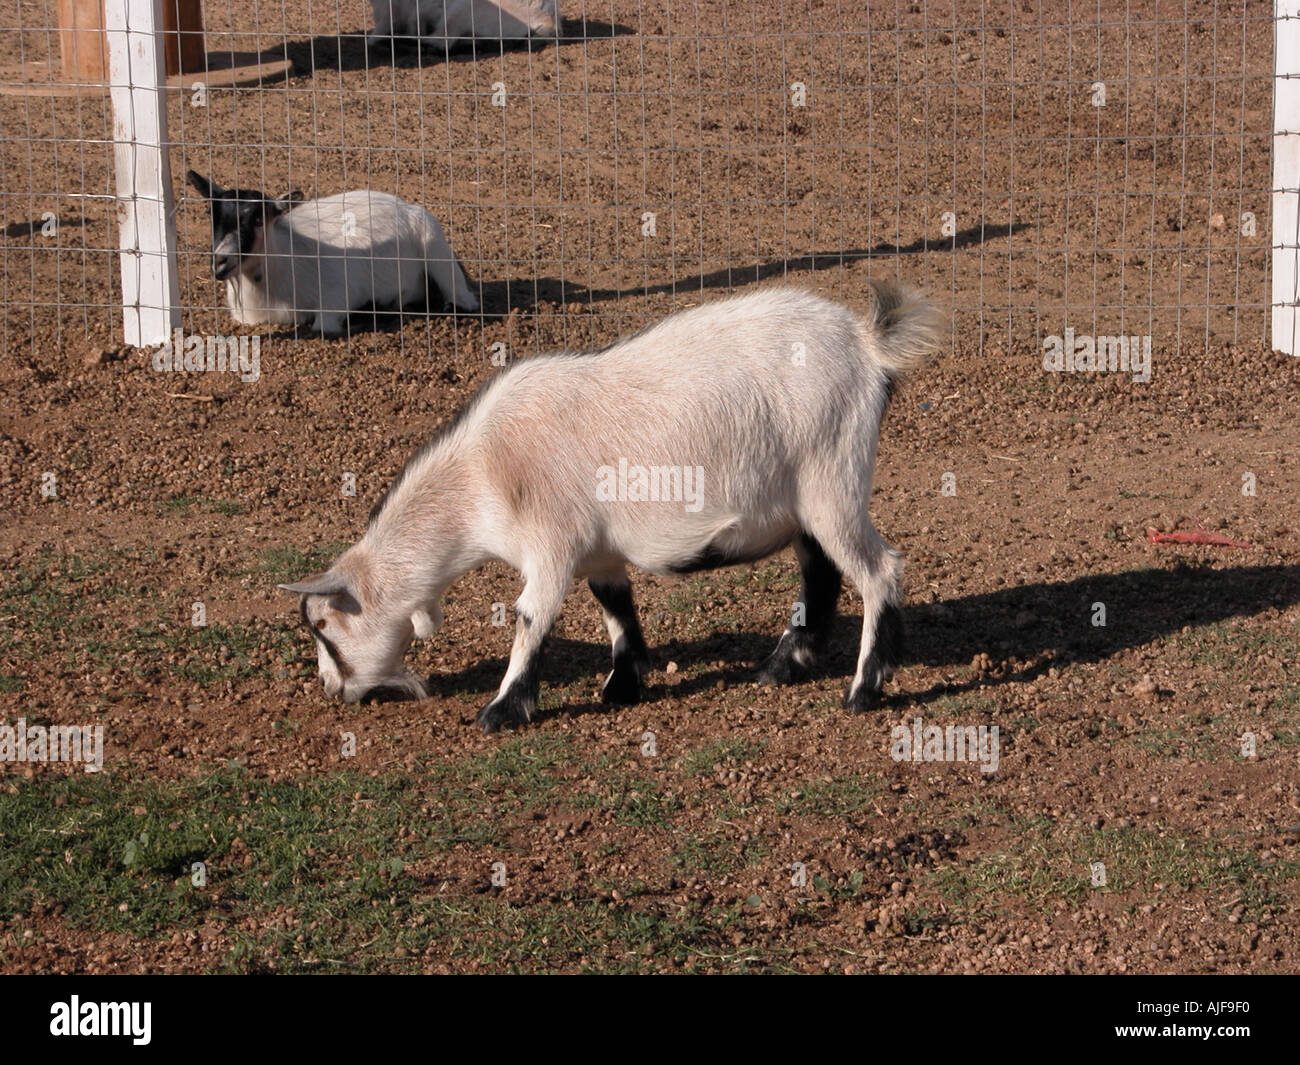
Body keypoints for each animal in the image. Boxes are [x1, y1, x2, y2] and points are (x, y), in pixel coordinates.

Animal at [186, 170, 478, 338]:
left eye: (258, 219)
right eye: (213, 217)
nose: (220, 261)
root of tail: (405, 206)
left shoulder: (339, 293)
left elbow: (323, 326)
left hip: (435, 245)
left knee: (462, 296)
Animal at [279, 283, 946, 732]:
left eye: (323, 627)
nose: (332, 689)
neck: (482, 473)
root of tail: (867, 343)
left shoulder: (551, 545)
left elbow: (530, 618)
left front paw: (502, 709)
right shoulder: (597, 549)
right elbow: (616, 610)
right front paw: (621, 685)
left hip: (833, 481)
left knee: (879, 570)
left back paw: (863, 689)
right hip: (804, 501)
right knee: (821, 575)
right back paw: (782, 666)